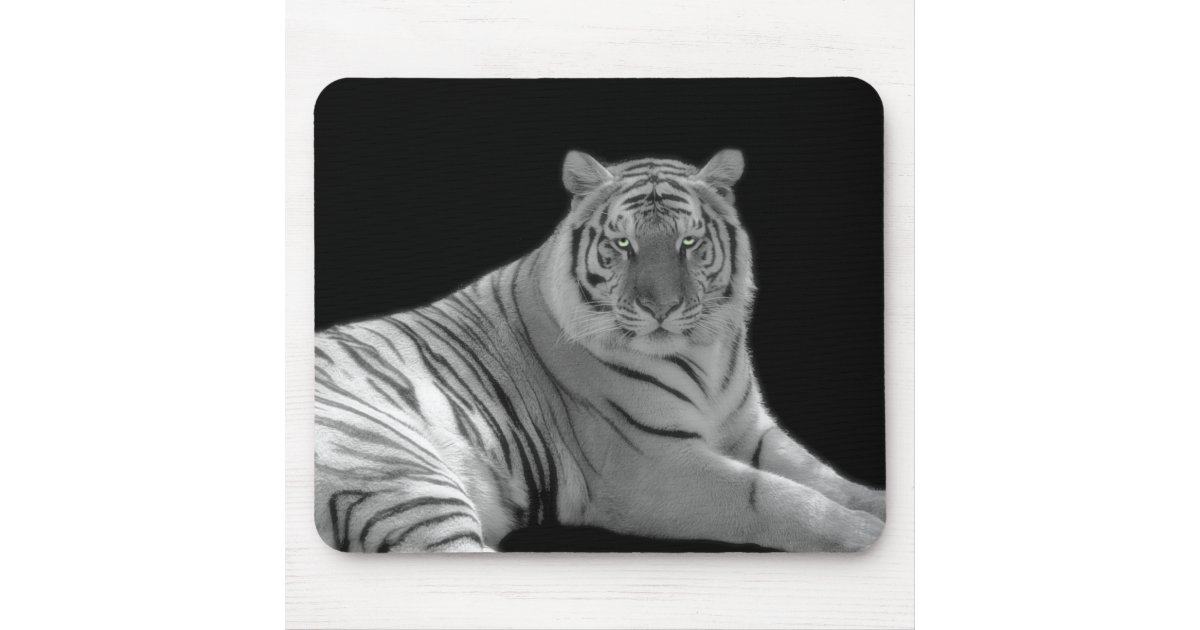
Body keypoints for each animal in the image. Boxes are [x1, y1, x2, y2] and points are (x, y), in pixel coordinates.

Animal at [314, 149, 886, 553]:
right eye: (623, 244)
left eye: (687, 243)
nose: (661, 307)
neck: (705, 354)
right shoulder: (654, 464)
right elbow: (772, 496)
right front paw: (862, 534)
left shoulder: (748, 430)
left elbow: (822, 476)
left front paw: (877, 506)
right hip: (399, 470)